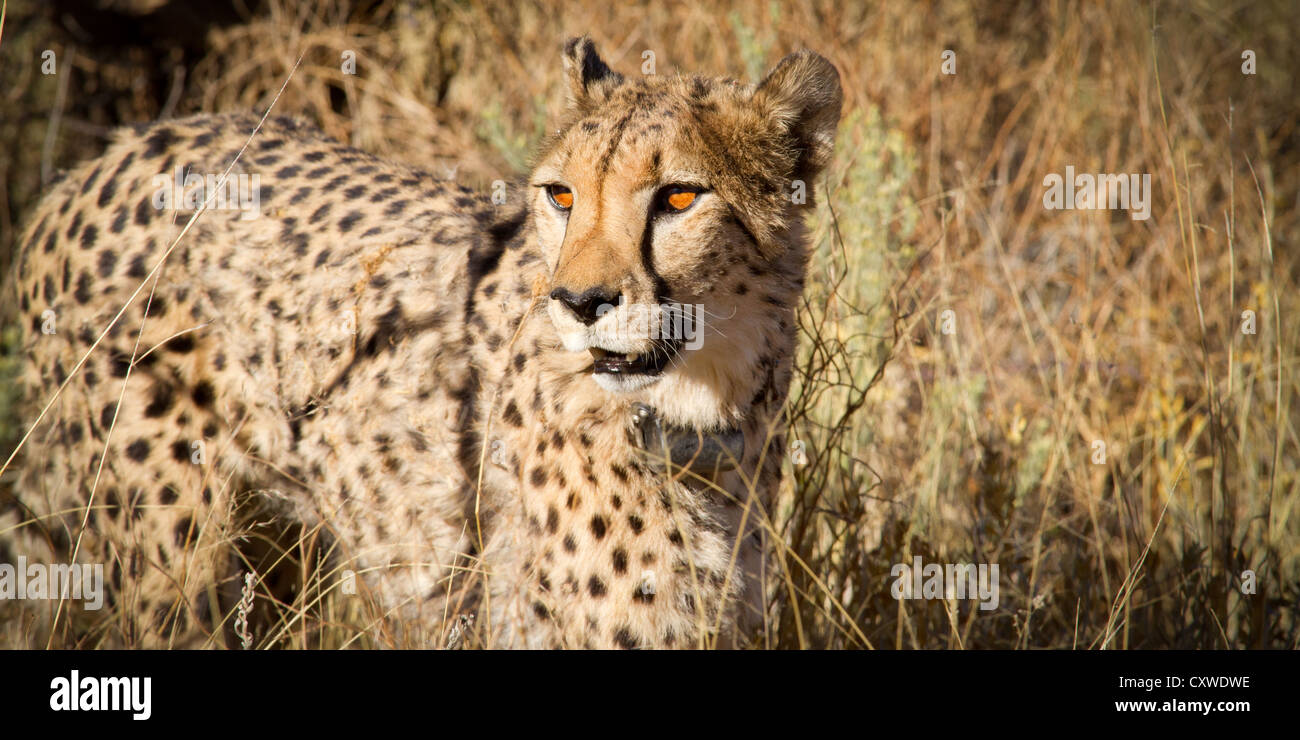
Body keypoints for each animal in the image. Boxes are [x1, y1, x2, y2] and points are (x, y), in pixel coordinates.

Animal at [1, 37, 842, 649]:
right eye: (561, 195)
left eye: (679, 197)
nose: (579, 303)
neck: (702, 419)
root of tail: (102, 159)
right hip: (170, 560)